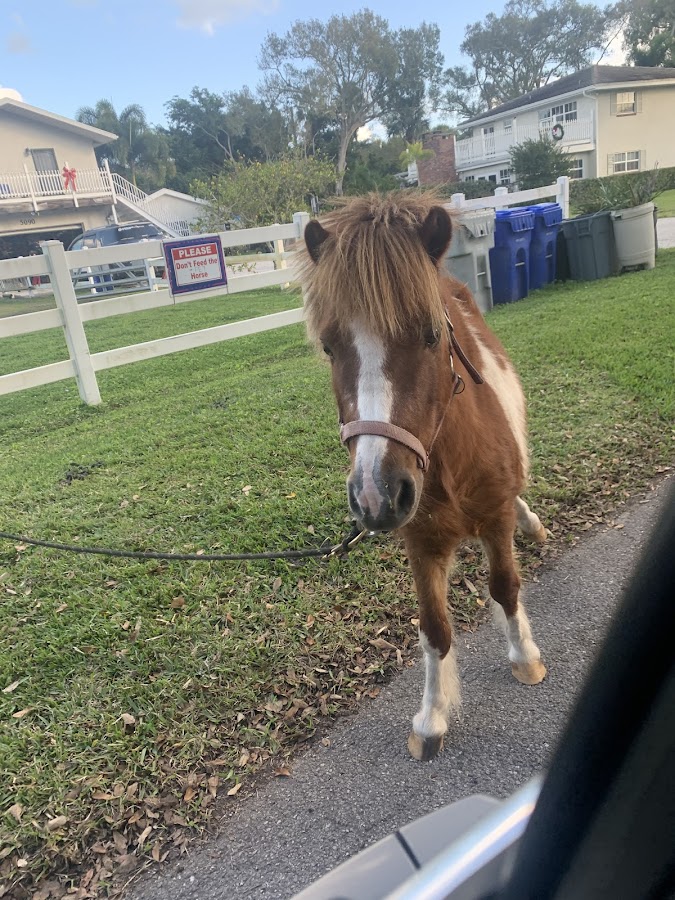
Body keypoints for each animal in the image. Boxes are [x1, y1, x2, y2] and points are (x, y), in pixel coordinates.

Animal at [302, 195, 548, 760]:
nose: (376, 495)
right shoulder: (421, 542)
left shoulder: (494, 519)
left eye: (432, 335)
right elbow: (434, 628)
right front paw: (432, 718)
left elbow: (505, 588)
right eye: (328, 347)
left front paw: (524, 655)